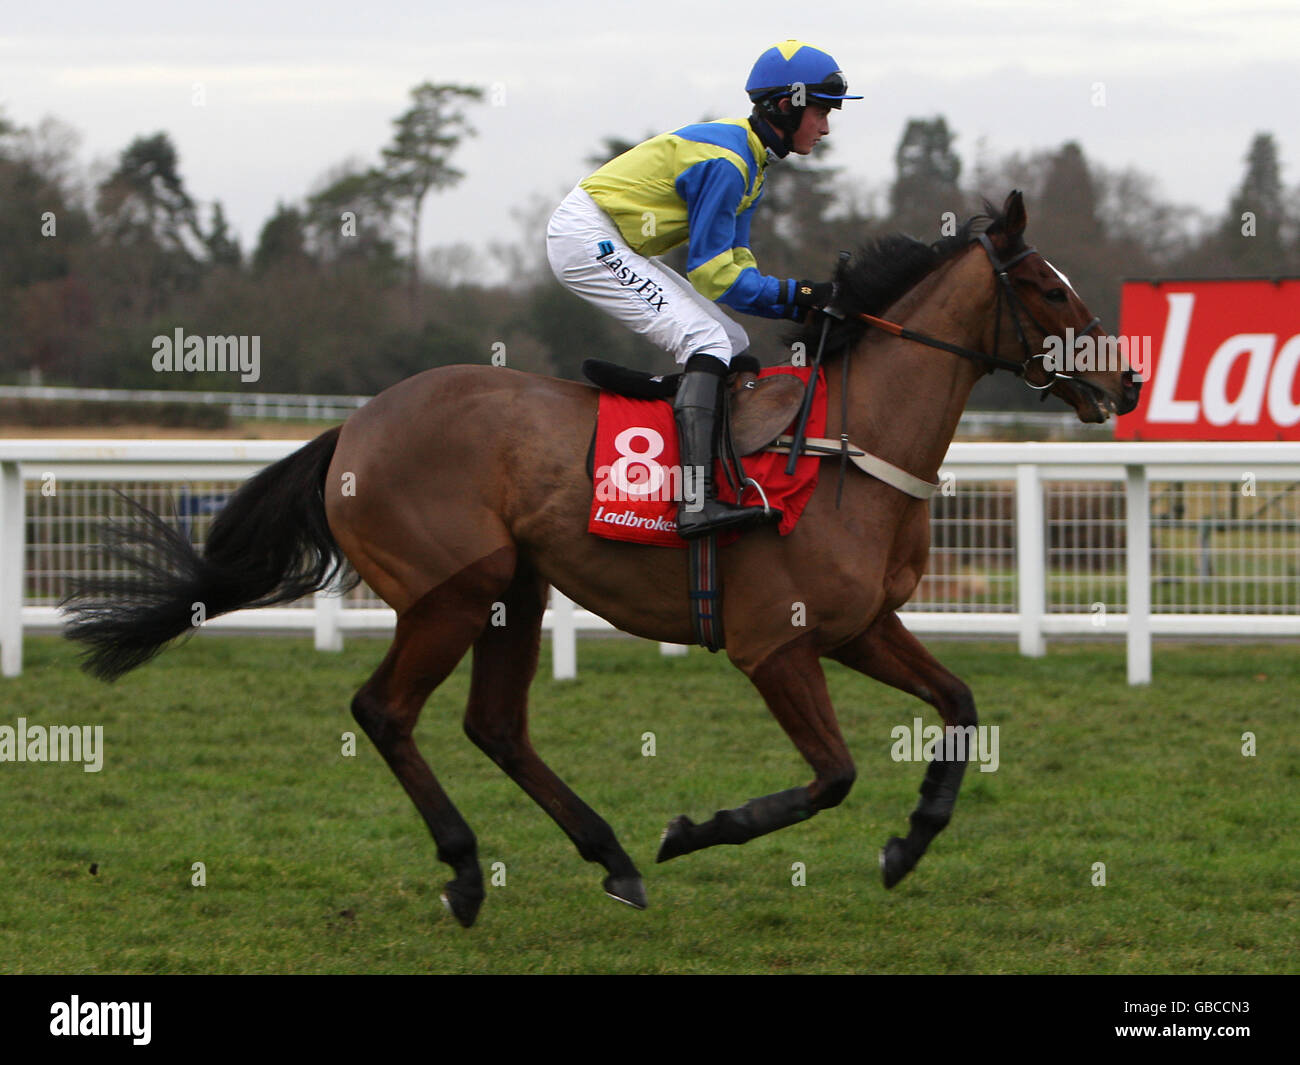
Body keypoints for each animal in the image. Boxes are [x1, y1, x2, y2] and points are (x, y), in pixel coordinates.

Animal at [64, 191, 1140, 928]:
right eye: (1045, 286)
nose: (1126, 379)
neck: (843, 445)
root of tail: (354, 429)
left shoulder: (862, 626)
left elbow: (959, 705)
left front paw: (910, 842)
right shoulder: (775, 646)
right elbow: (832, 775)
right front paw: (694, 830)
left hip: (516, 588)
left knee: (495, 724)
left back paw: (607, 853)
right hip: (451, 593)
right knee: (386, 711)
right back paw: (468, 868)